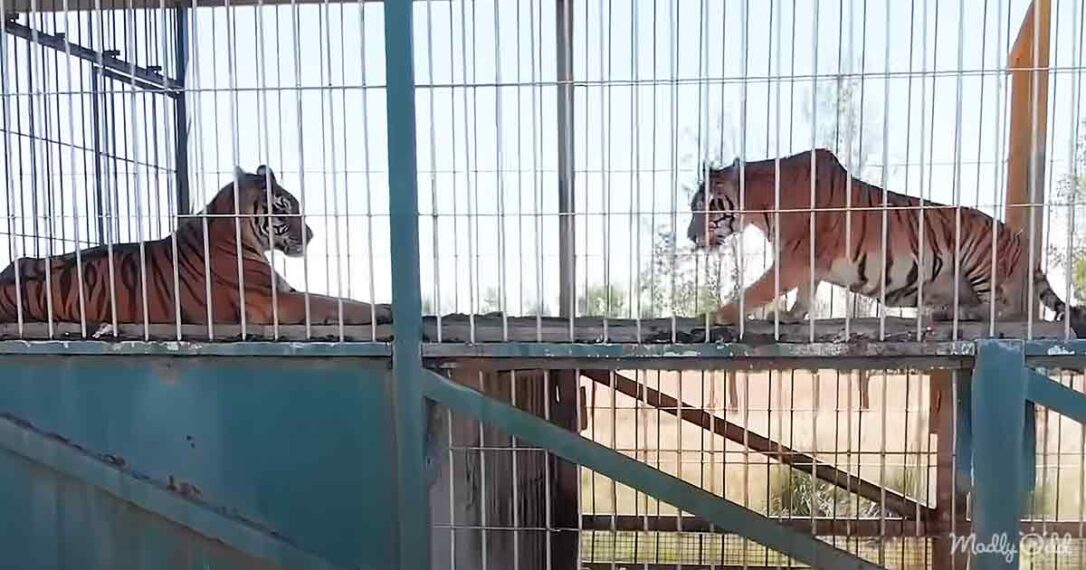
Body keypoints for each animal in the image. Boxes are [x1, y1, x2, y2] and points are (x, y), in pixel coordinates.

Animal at [687, 148, 1083, 327]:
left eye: (703, 206)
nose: (691, 237)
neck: (761, 205)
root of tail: (1021, 242)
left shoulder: (796, 255)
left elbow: (758, 288)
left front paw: (716, 315)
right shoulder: (806, 261)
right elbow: (805, 292)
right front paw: (790, 315)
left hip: (980, 257)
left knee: (1008, 308)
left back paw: (958, 314)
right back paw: (945, 309)